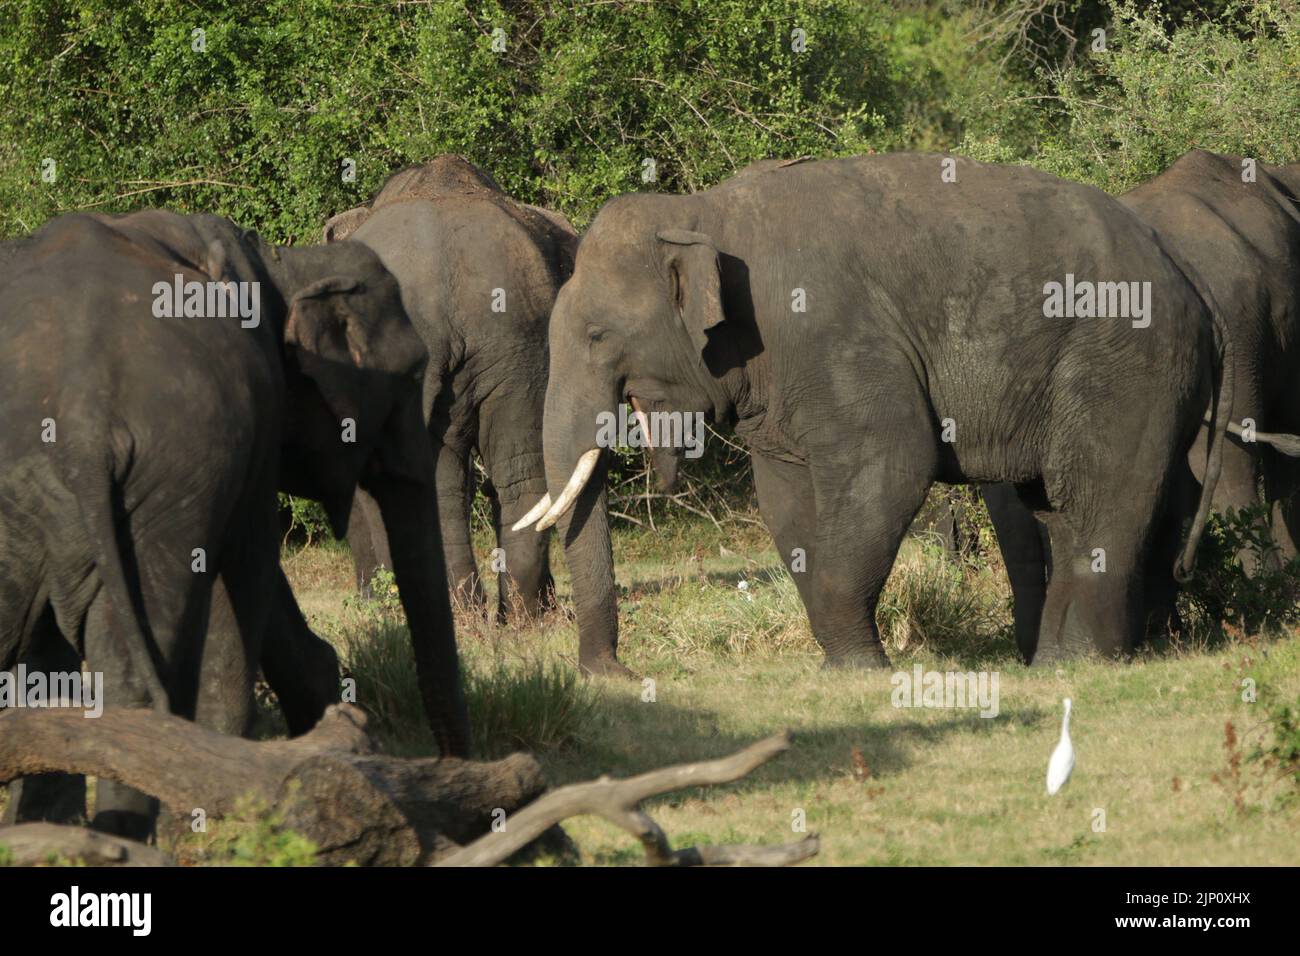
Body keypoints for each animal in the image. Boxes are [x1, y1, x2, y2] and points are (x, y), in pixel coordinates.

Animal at [0, 208, 469, 837]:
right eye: (413, 374)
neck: (281, 262)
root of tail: (81, 421)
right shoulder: (256, 418)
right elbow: (249, 571)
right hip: (179, 468)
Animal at [514, 152, 1235, 669]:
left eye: (597, 336)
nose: (618, 672)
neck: (703, 212)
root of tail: (1192, 282)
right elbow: (785, 495)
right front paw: (842, 668)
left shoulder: (833, 331)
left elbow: (894, 460)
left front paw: (865, 670)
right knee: (1059, 509)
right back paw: (1055, 667)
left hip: (1128, 364)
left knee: (1097, 499)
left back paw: (1085, 665)